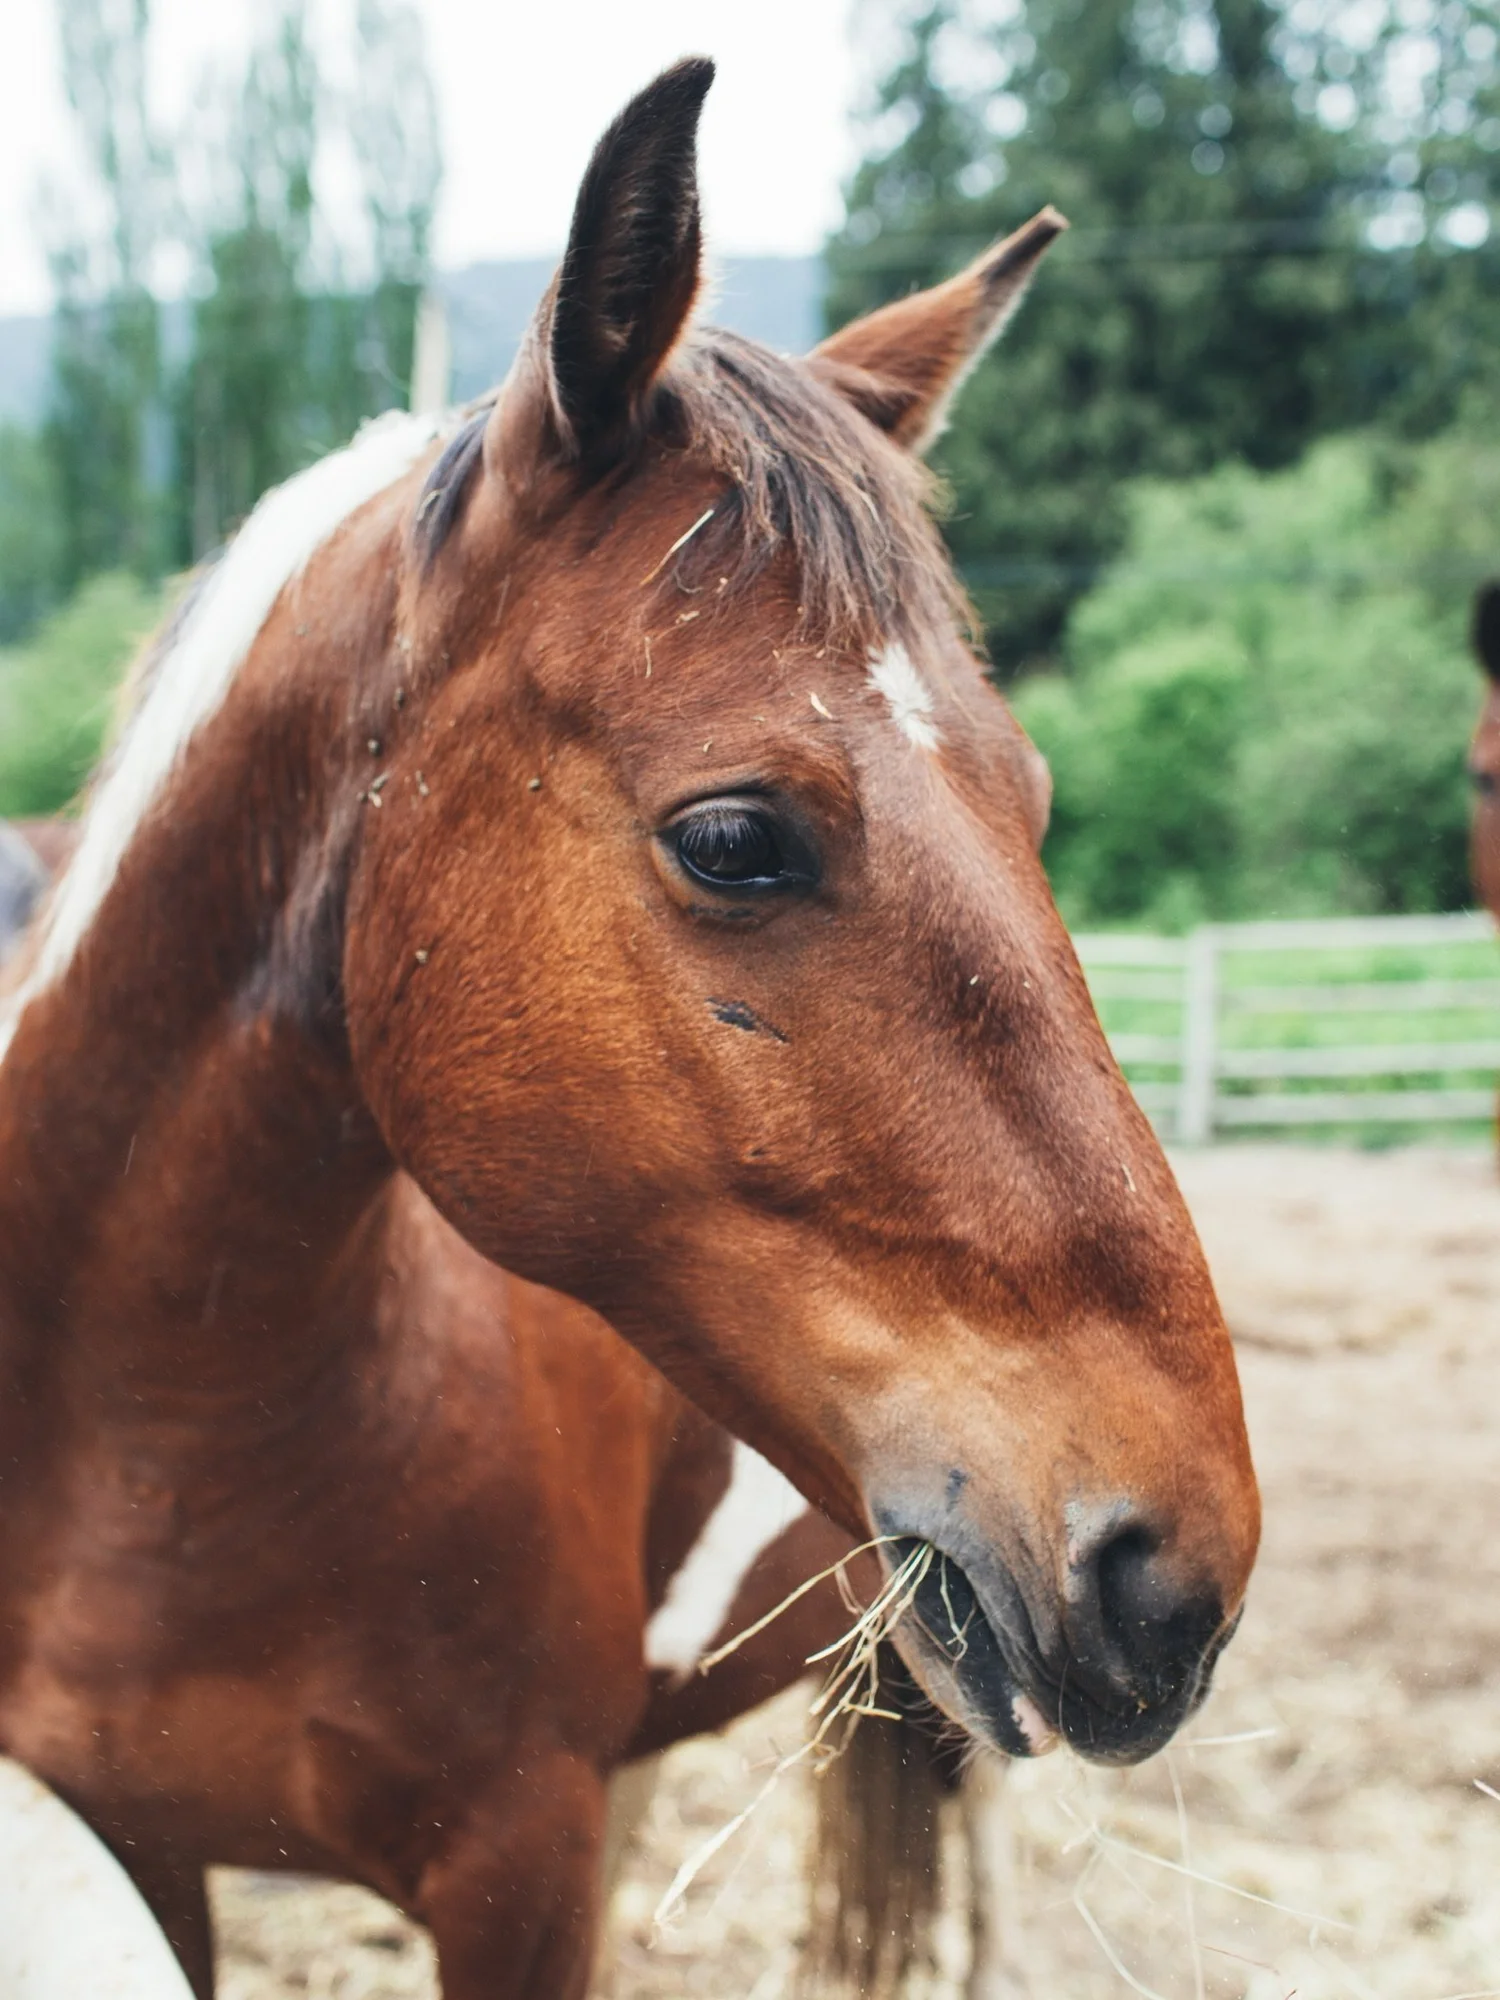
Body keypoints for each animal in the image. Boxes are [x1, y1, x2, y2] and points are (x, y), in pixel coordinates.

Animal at [0, 57, 1258, 1998]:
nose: (1175, 1562)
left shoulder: (521, 1860)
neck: (165, 1443)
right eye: (735, 838)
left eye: (1035, 800)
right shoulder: (142, 1856)